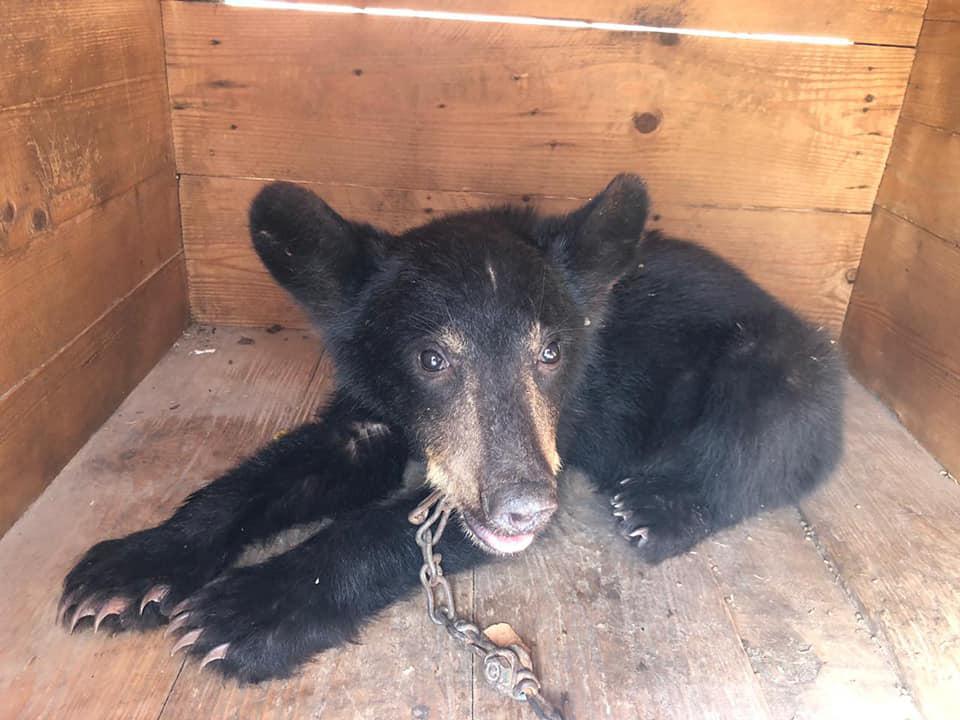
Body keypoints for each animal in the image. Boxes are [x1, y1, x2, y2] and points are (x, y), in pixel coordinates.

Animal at [59, 174, 843, 683]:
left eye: (552, 352)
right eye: (431, 359)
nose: (523, 508)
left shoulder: (557, 430)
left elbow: (392, 528)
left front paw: (252, 610)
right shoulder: (373, 404)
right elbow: (289, 468)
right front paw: (132, 568)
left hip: (773, 361)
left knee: (767, 444)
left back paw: (658, 504)